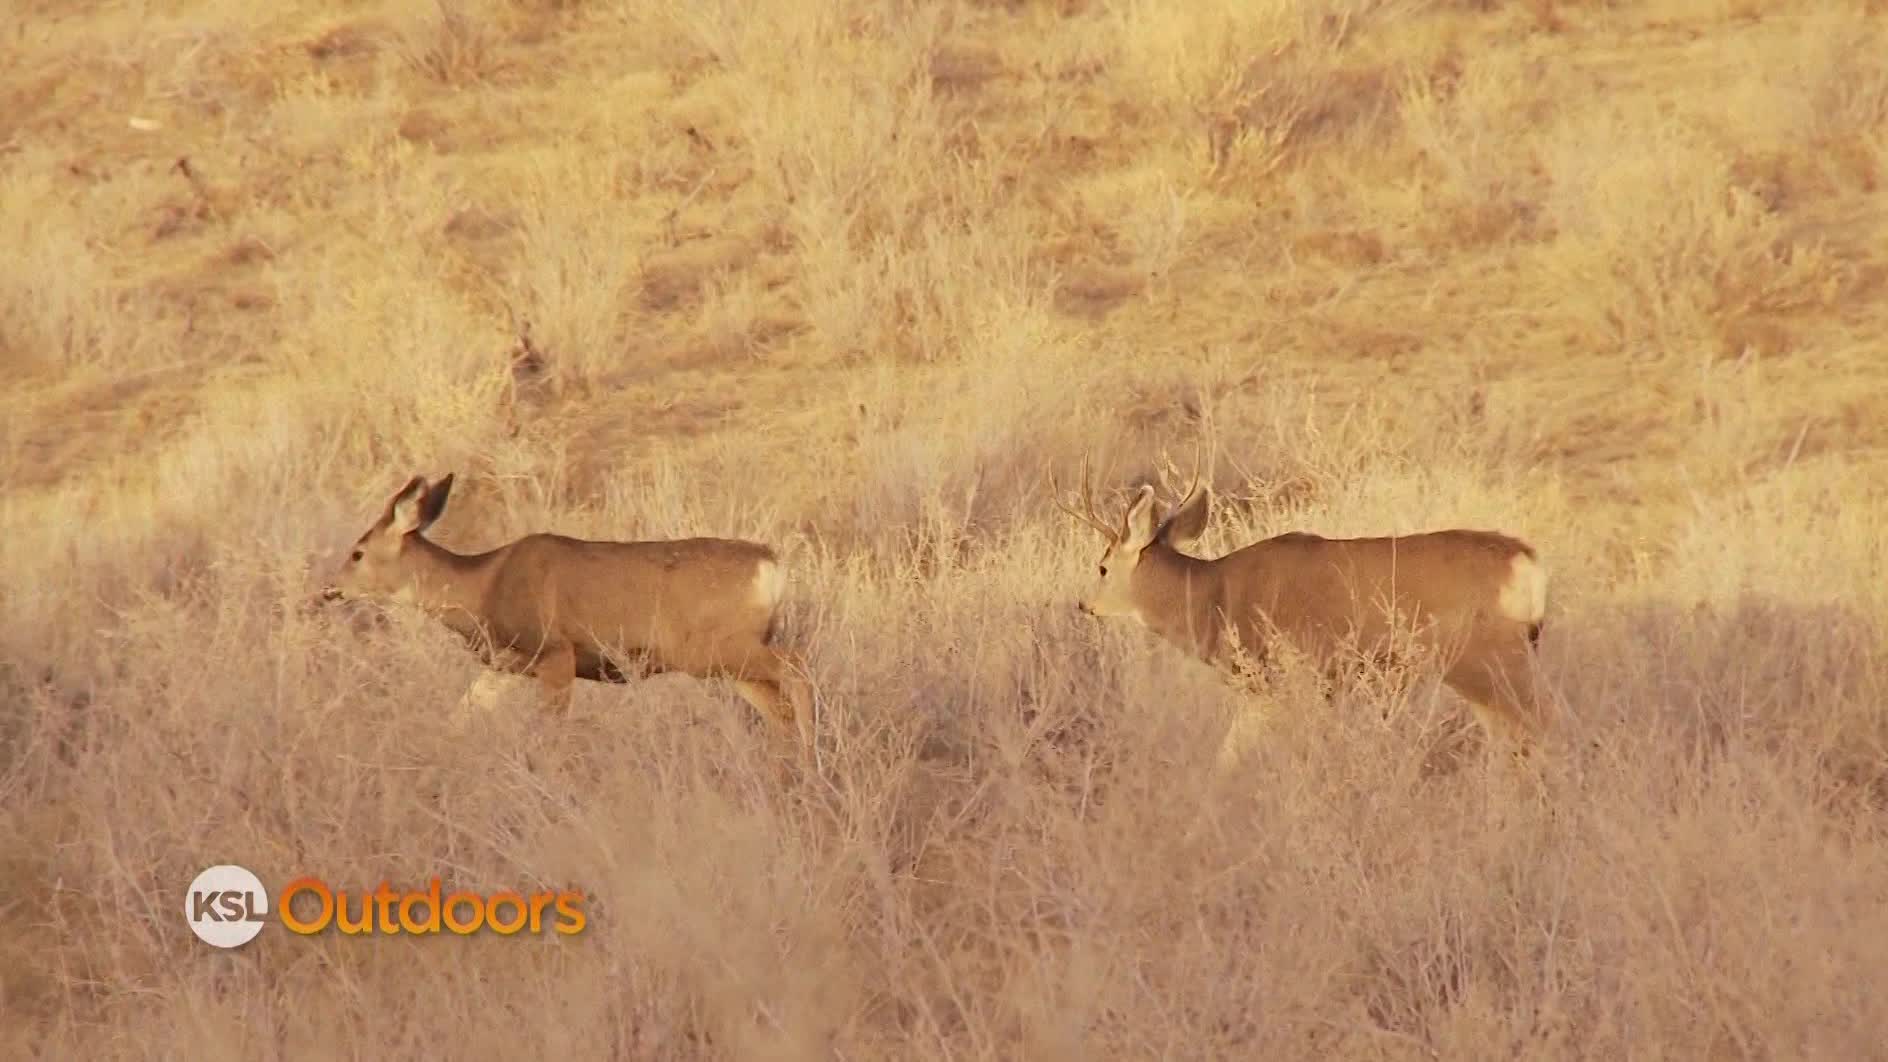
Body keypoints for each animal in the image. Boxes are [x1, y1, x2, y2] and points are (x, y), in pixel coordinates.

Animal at [319, 474, 816, 749]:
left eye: (358, 553)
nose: (329, 590)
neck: (483, 588)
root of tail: (773, 566)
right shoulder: (505, 665)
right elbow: (460, 716)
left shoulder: (555, 652)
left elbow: (549, 731)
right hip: (726, 659)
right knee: (778, 706)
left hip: (715, 647)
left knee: (797, 668)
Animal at [1050, 452, 1551, 755]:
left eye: (1102, 566)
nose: (1083, 605)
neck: (1211, 598)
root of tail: (1529, 561)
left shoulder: (1274, 678)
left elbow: (1232, 754)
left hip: (1489, 661)